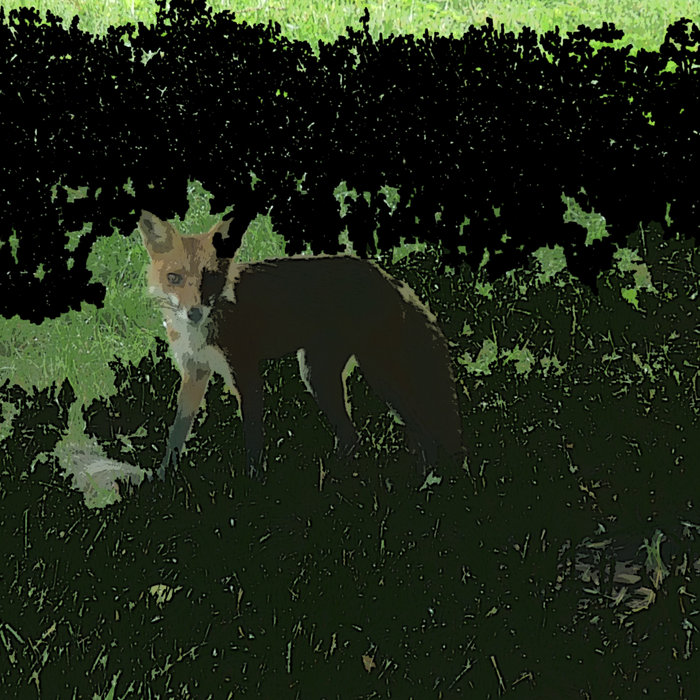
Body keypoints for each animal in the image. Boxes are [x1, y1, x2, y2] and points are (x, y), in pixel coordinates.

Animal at [138, 210, 465, 481]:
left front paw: (252, 487)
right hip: (317, 375)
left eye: (210, 278)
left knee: (422, 433)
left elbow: (253, 441)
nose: (194, 312)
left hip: (377, 374)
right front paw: (163, 478)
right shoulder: (194, 372)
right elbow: (175, 435)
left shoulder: (246, 374)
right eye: (174, 278)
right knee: (353, 438)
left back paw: (423, 482)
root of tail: (382, 273)